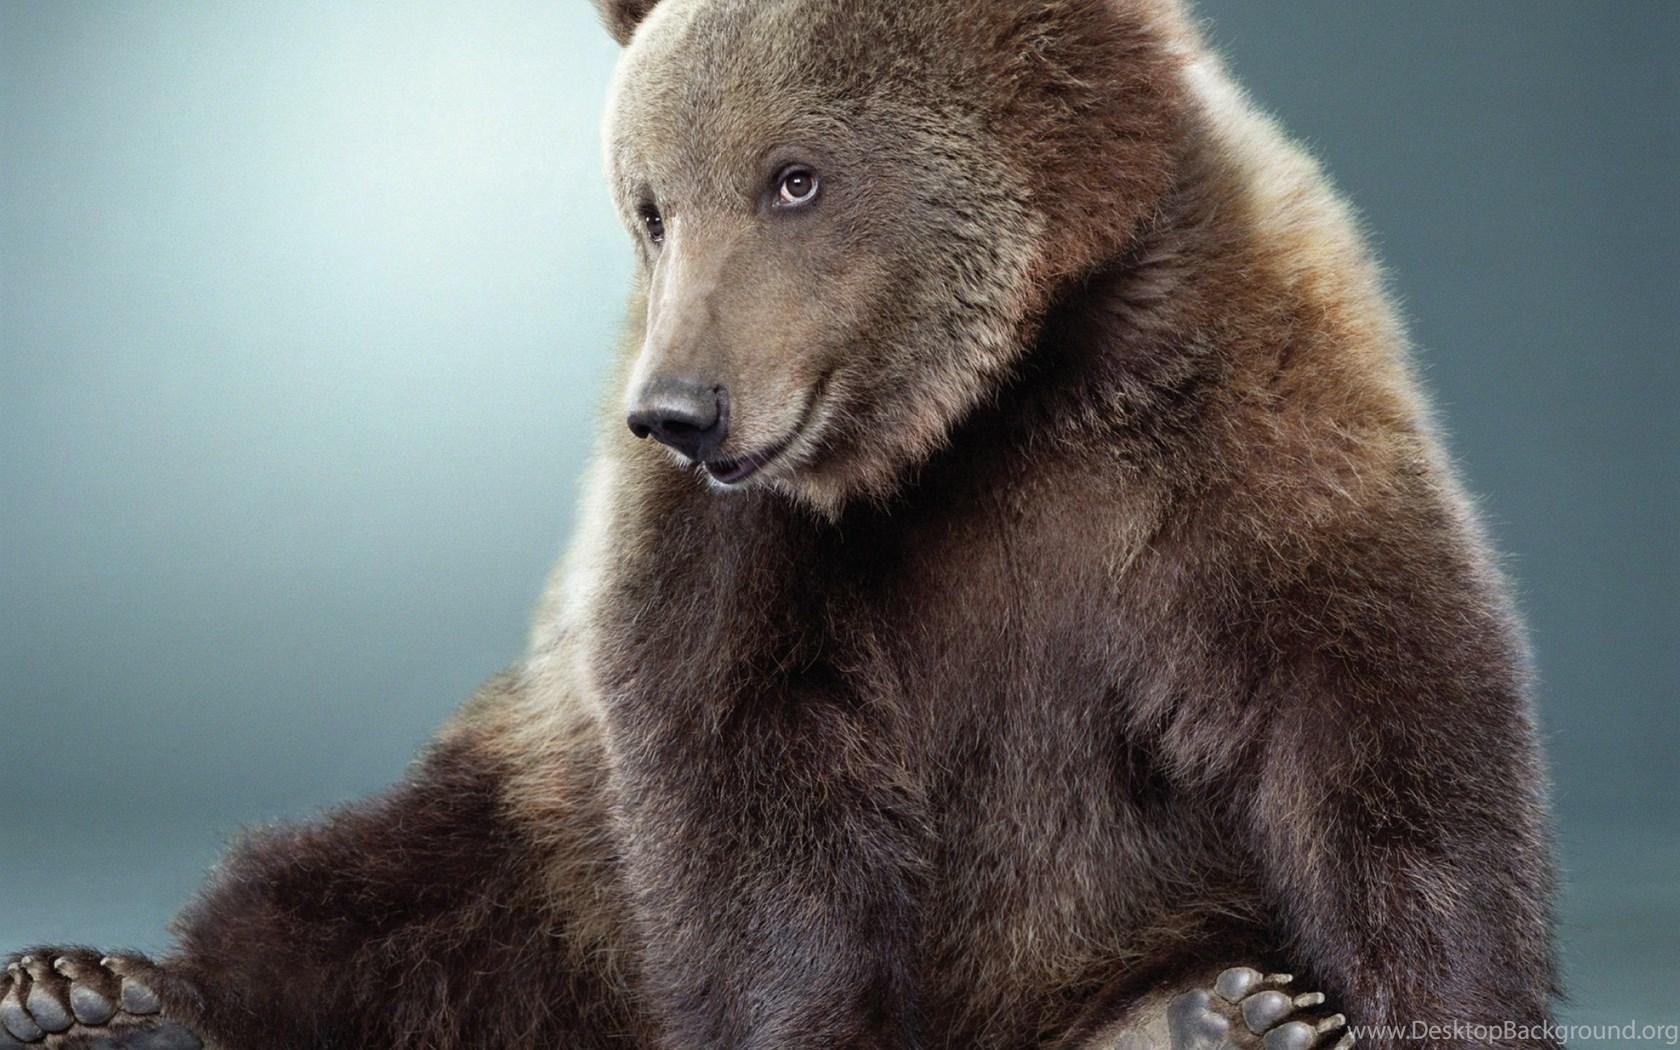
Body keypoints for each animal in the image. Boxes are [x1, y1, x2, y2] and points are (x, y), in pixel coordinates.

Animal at [2, 0, 1559, 1048]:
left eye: (795, 175)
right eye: (650, 202)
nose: (680, 409)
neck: (993, 401)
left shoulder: (1237, 409)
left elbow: (1373, 709)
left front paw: (1410, 999)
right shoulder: (734, 548)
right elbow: (743, 779)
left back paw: (1223, 1010)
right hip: (540, 823)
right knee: (366, 892)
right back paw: (101, 994)